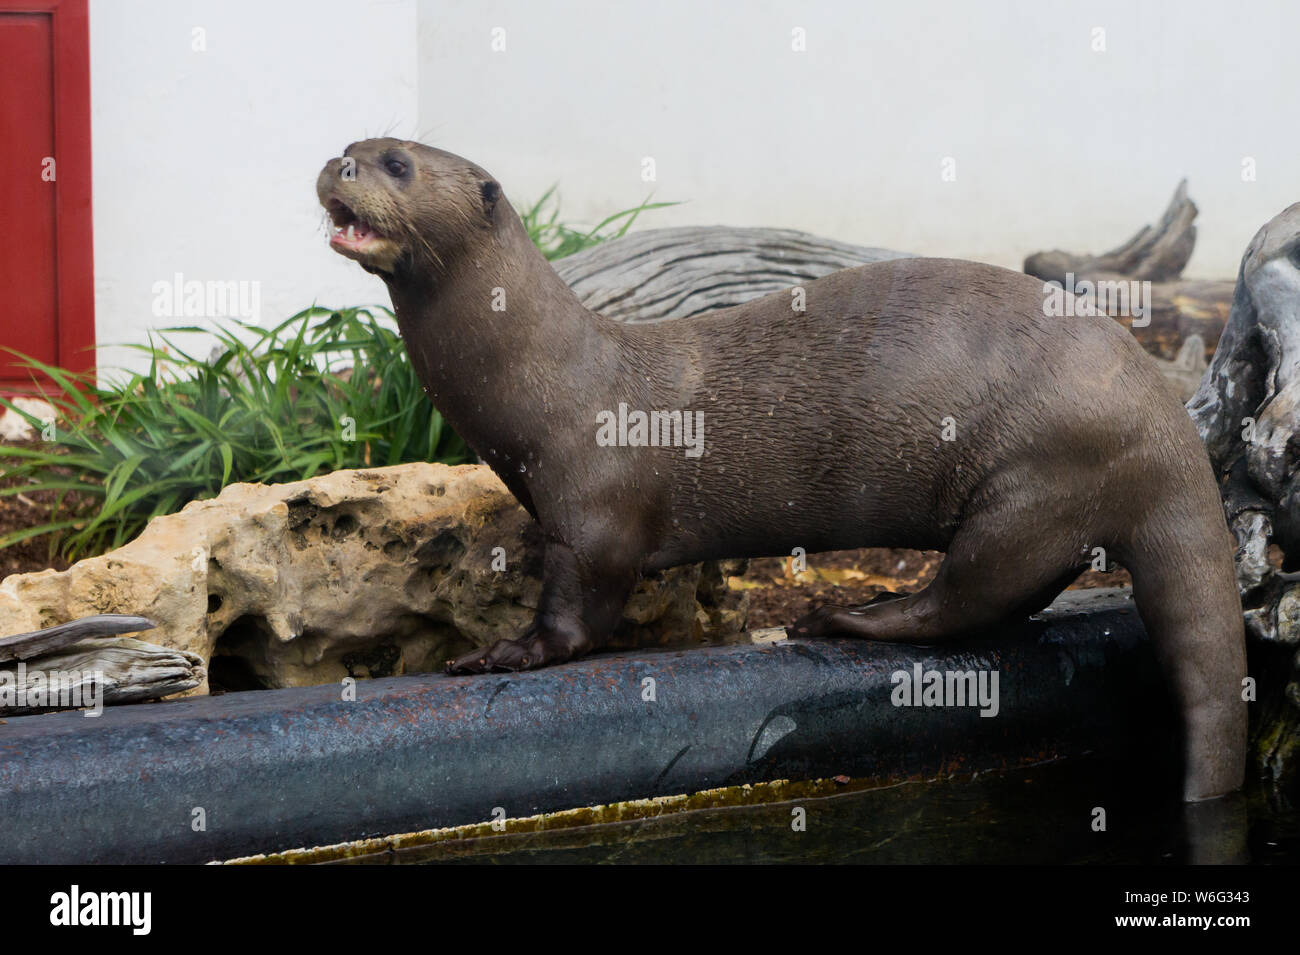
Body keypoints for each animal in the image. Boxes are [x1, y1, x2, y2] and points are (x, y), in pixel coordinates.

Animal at [317, 138, 1246, 801]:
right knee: (1018, 599)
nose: (341, 162)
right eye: (353, 143)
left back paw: (845, 616)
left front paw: (499, 653)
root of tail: (1166, 425)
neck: (553, 374)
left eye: (399, 161)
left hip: (1035, 473)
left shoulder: (594, 508)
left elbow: (577, 616)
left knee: (968, 597)